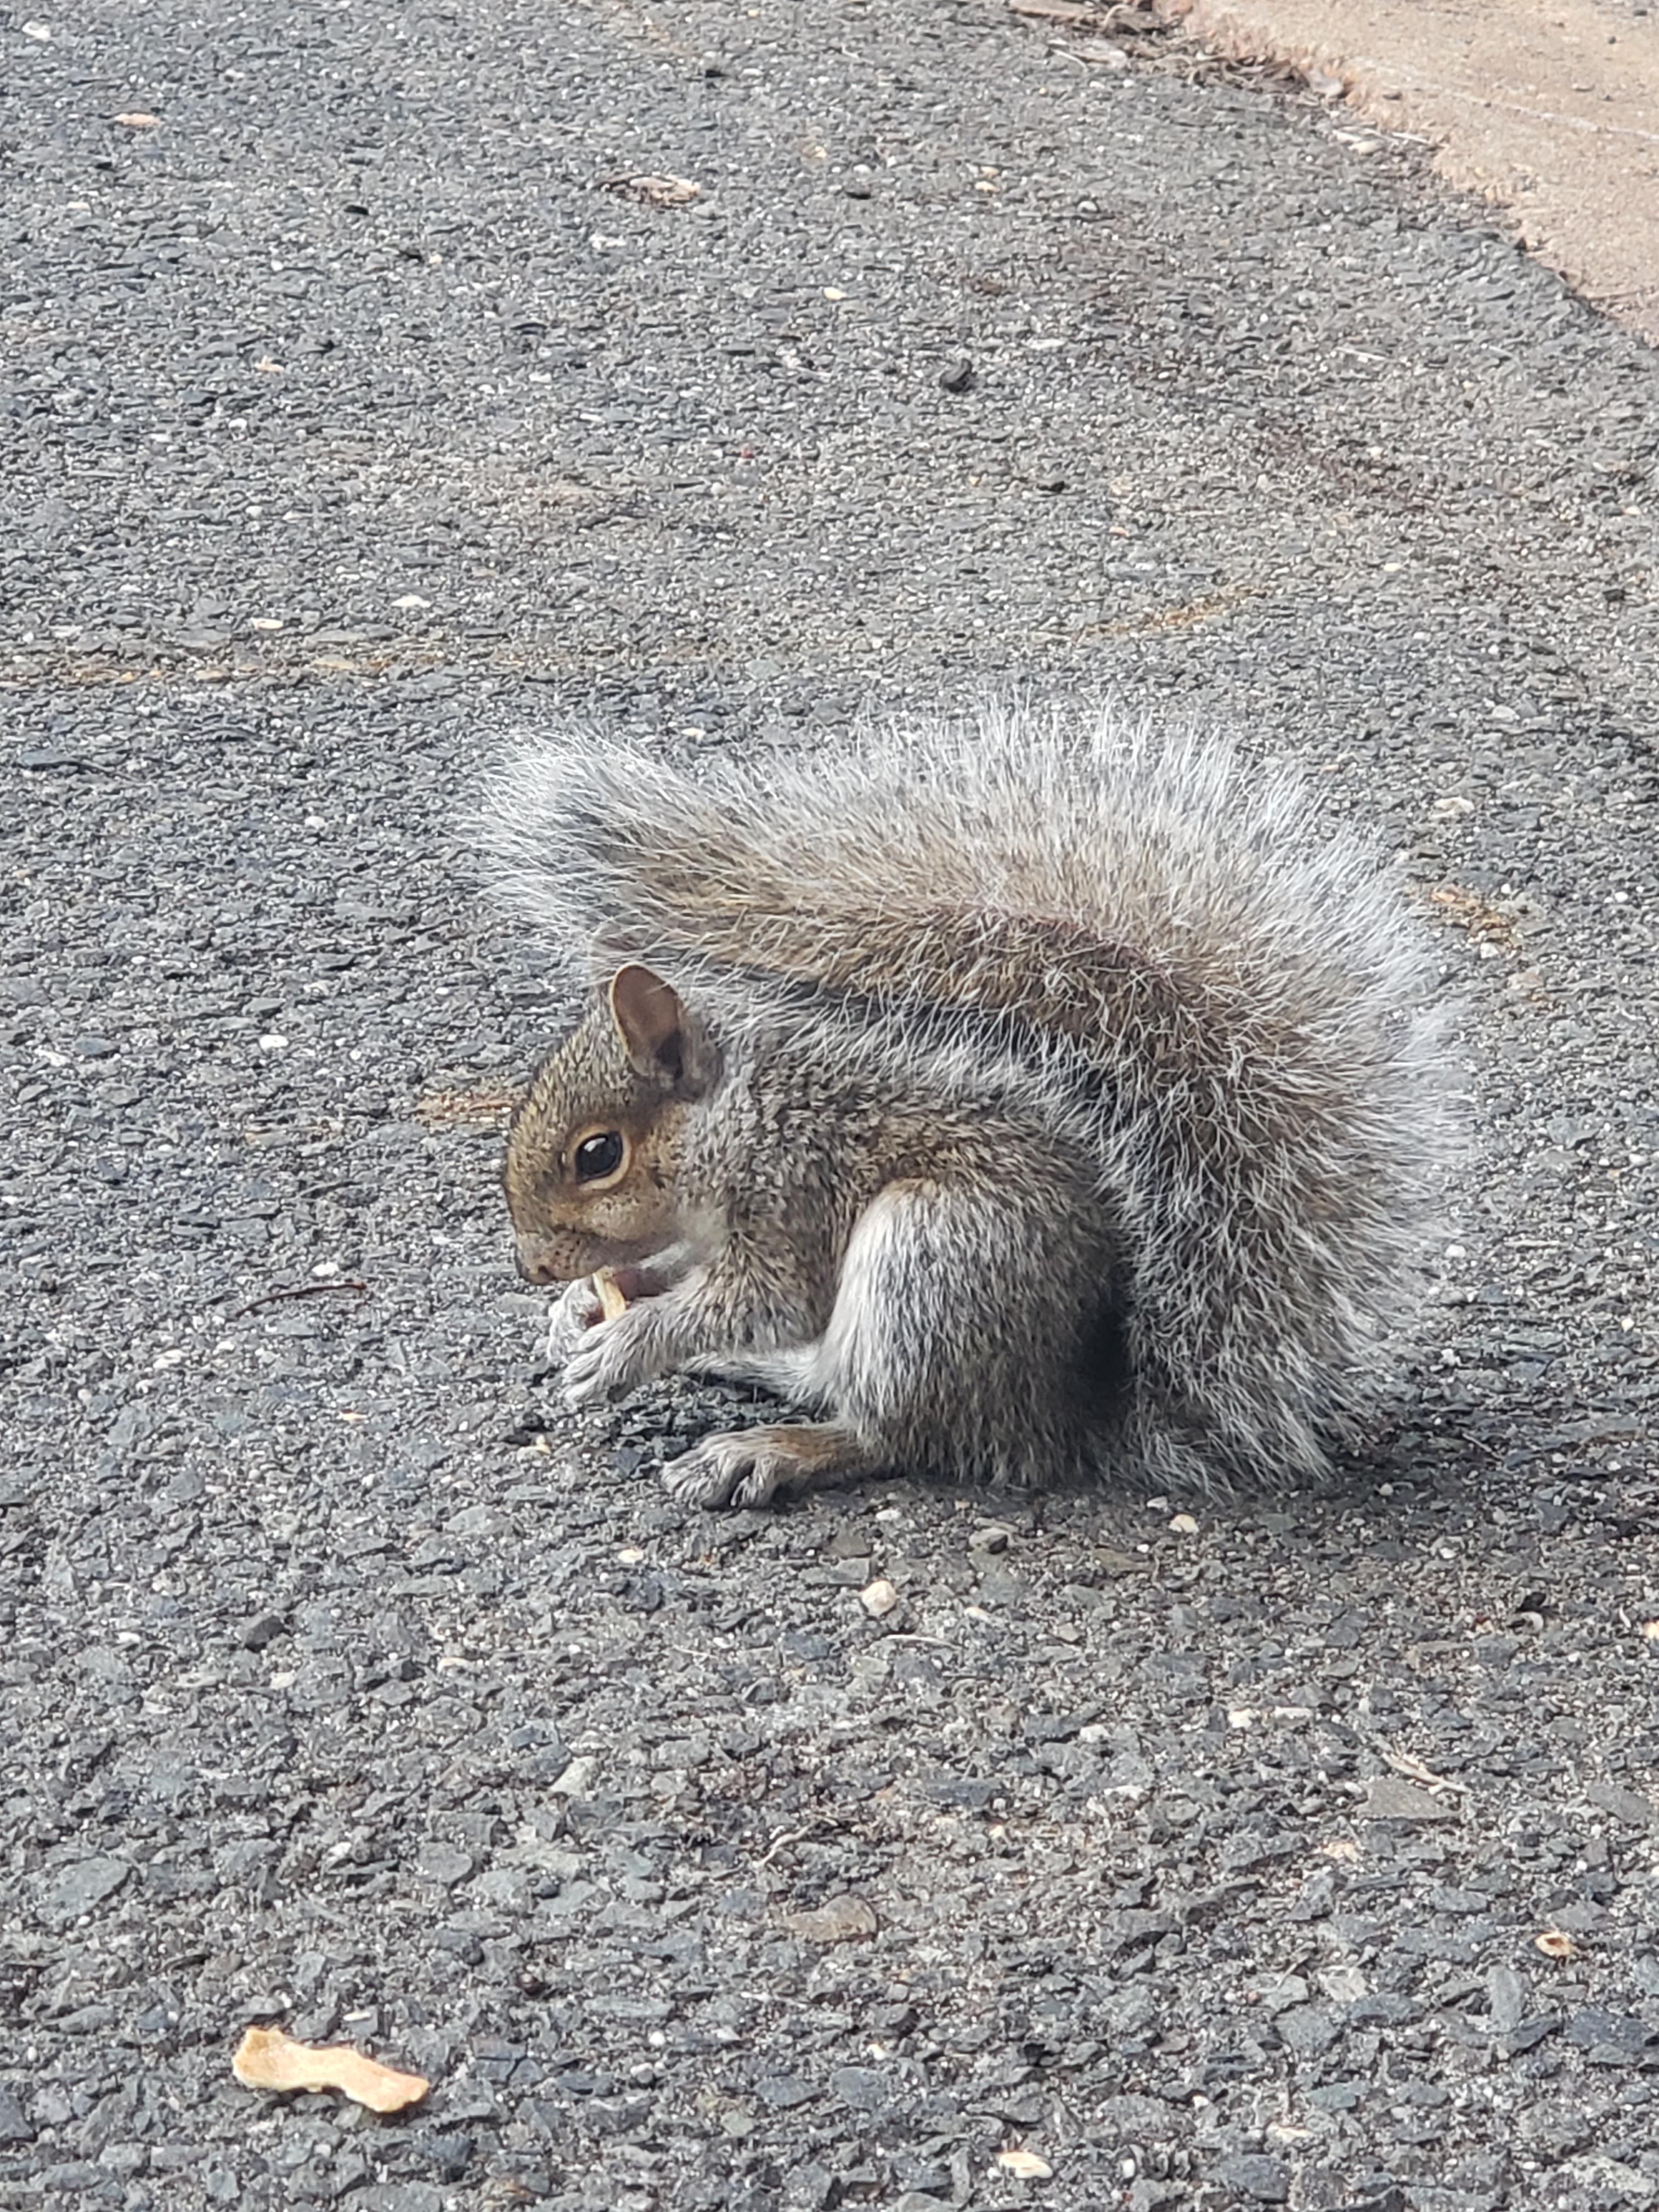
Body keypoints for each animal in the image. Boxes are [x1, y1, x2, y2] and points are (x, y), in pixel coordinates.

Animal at [480, 703, 1459, 1511]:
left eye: (598, 1154)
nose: (533, 1266)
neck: (735, 1117)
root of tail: (1065, 1417)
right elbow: (680, 1271)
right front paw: (583, 1309)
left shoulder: (794, 1190)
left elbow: (762, 1296)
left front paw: (631, 1342)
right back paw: (748, 1373)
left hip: (931, 1265)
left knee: (900, 1434)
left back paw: (769, 1449)